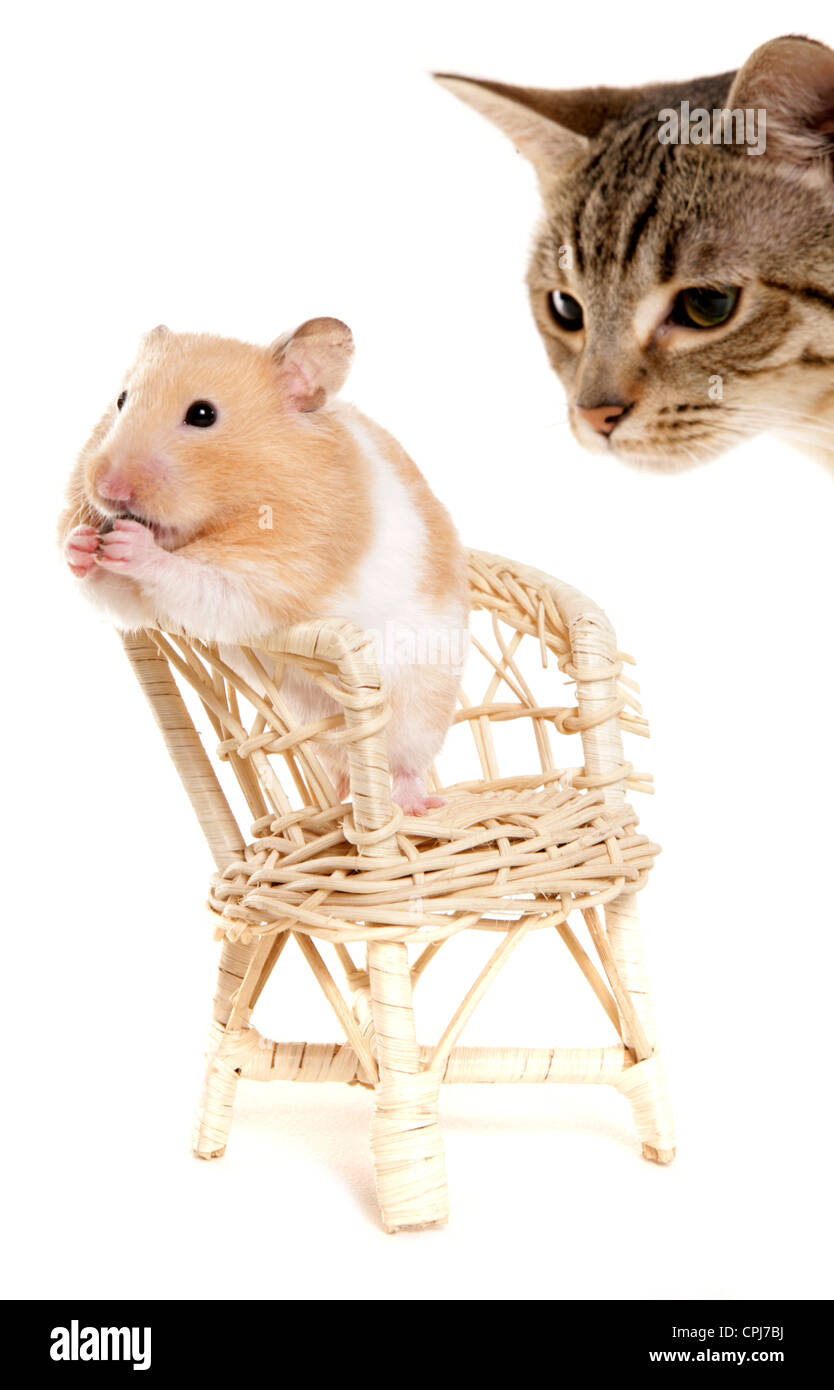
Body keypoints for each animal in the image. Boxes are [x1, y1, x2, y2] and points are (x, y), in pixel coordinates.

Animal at [59, 319, 470, 815]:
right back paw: (335, 804)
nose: (106, 488)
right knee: (341, 771)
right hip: (316, 728)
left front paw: (134, 546)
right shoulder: (137, 606)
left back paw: (414, 806)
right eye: (121, 400)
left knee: (406, 763)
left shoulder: (268, 575)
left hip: (420, 705)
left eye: (202, 414)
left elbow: (191, 577)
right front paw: (79, 544)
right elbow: (107, 588)